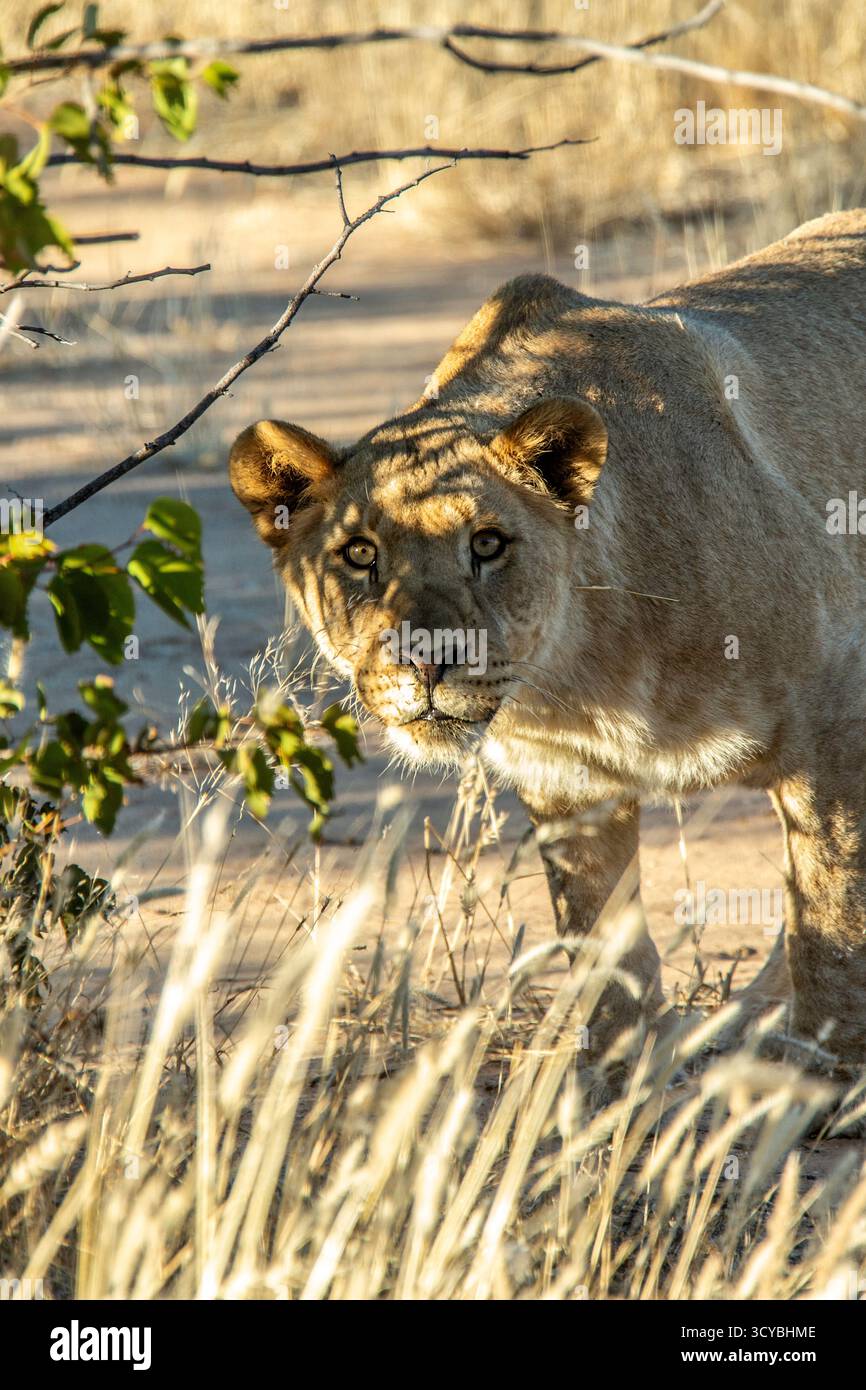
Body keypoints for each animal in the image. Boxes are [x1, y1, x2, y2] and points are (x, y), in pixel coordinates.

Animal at [229, 209, 866, 1070]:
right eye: (360, 555)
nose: (429, 661)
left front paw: (825, 1073)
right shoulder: (566, 783)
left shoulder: (836, 723)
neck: (579, 670)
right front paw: (617, 1080)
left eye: (488, 544)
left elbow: (832, 936)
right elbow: (604, 954)